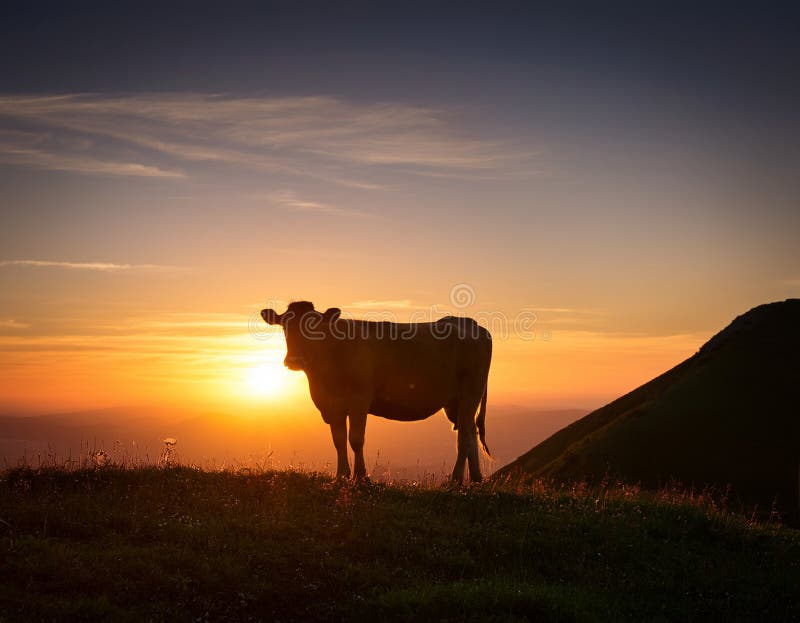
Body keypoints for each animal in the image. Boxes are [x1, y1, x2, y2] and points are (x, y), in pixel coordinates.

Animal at [261, 301, 492, 483]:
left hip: (470, 394)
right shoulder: (332, 406)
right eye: (284, 326)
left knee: (464, 436)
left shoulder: (359, 401)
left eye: (314, 327)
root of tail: (472, 324)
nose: (294, 360)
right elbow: (338, 441)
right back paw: (476, 478)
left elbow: (355, 439)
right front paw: (341, 476)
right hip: (455, 402)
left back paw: (456, 480)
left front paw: (361, 476)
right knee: (470, 431)